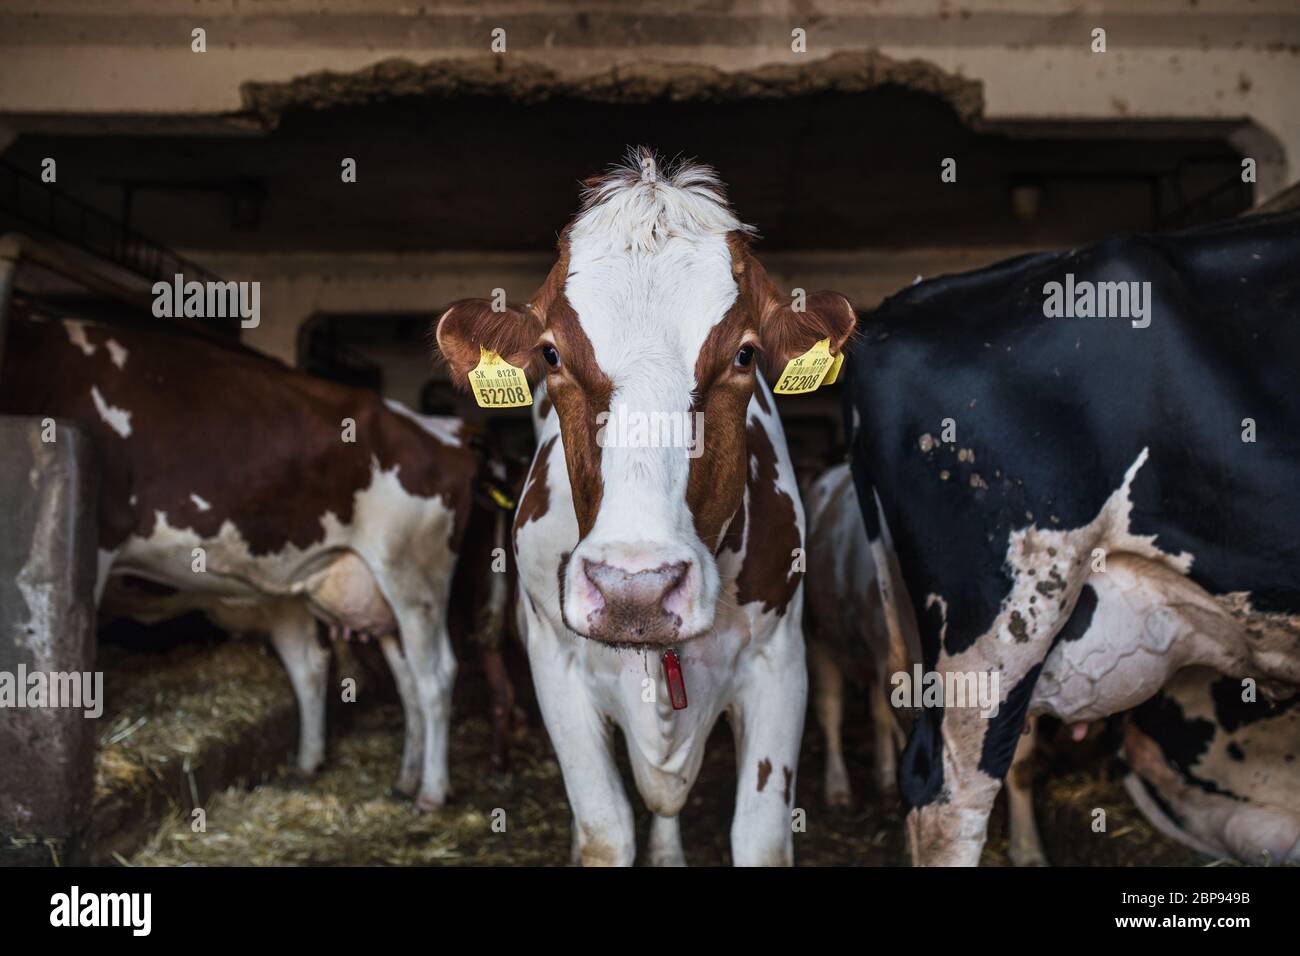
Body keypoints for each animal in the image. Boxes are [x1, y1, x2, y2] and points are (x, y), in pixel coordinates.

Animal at [0, 300, 483, 809]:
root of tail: (442, 431)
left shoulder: (99, 544)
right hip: (368, 594)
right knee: (368, 676)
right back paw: (370, 774)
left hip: (414, 578)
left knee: (435, 678)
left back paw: (431, 792)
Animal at [434, 149, 855, 866]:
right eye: (551, 353)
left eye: (744, 353)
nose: (636, 589)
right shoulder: (556, 665)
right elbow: (606, 831)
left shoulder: (780, 664)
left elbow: (759, 837)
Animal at [804, 461, 1048, 865]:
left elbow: (1023, 766)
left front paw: (1027, 849)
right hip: (820, 640)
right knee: (831, 712)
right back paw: (838, 789)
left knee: (876, 712)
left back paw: (884, 775)